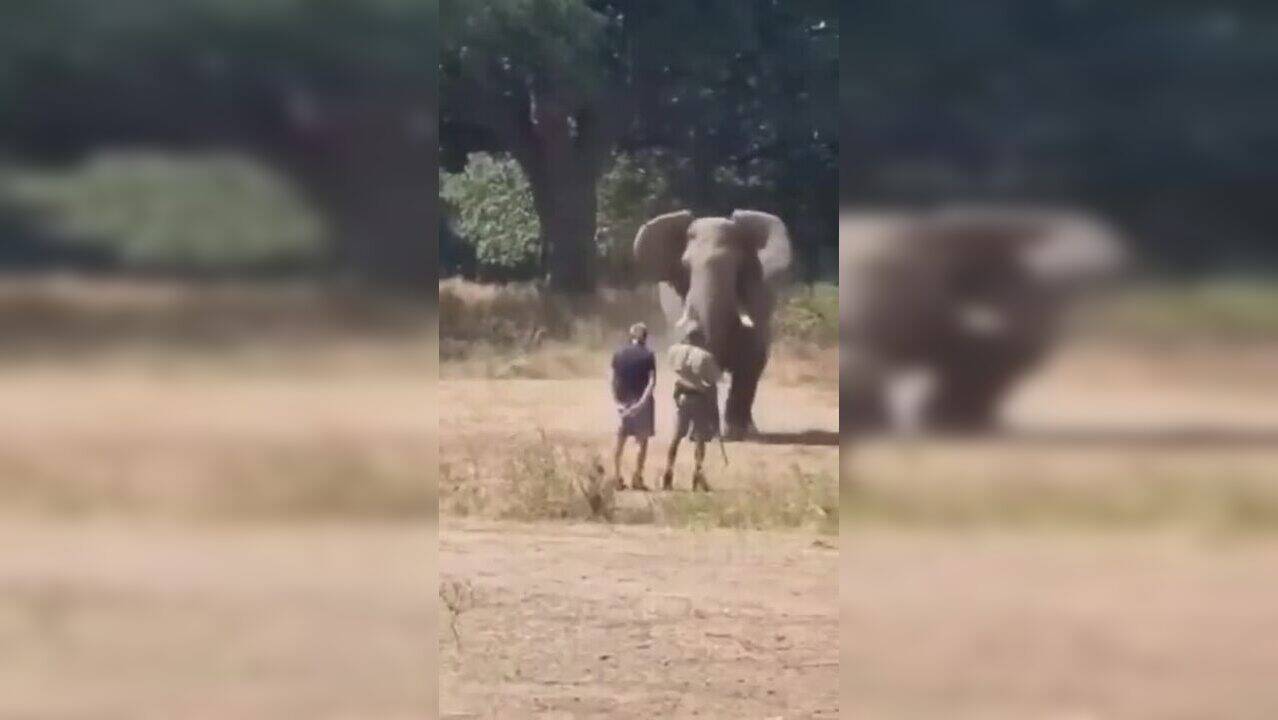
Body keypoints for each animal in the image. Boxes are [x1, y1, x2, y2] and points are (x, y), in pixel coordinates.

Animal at [634, 209, 792, 439]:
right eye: (685, 267)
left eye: (738, 267)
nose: (694, 330)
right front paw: (704, 432)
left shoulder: (756, 297)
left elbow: (750, 360)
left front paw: (735, 433)